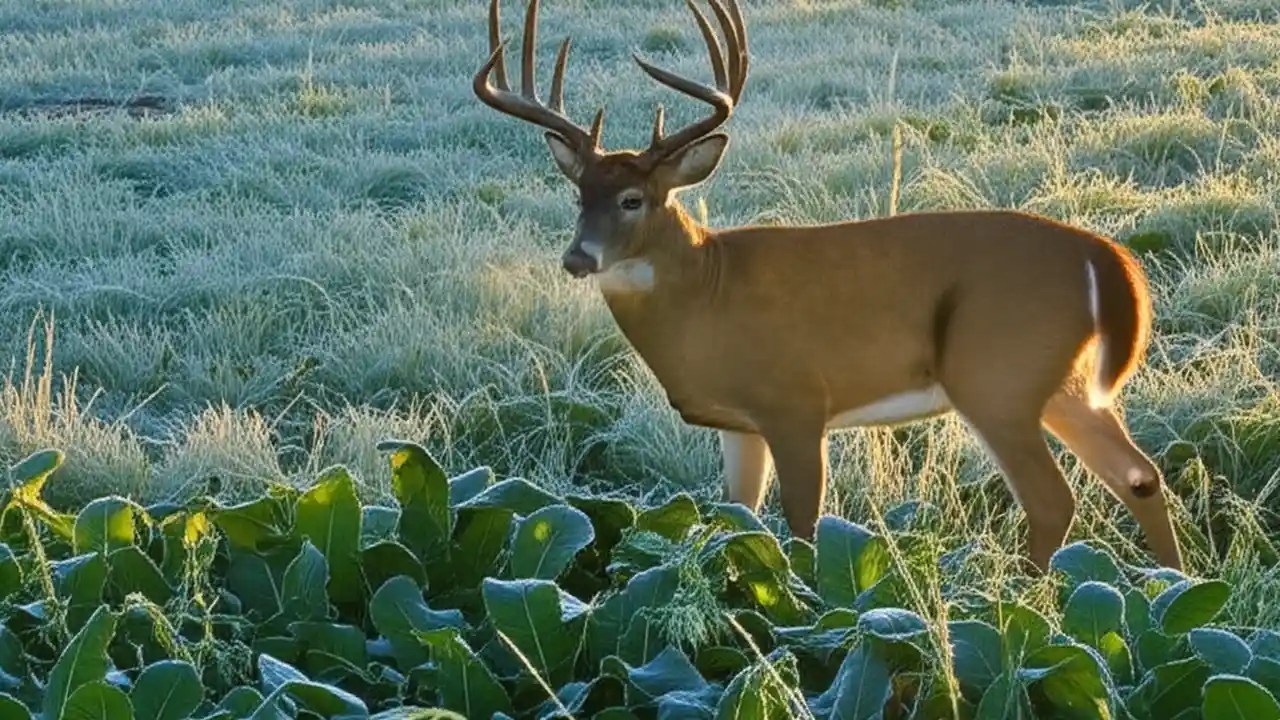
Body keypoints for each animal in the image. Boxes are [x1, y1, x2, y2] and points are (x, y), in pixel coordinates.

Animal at [471, 0, 1183, 573]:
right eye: (578, 196)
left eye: (632, 199)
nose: (577, 257)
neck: (706, 295)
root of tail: (1106, 256)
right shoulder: (739, 423)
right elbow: (738, 515)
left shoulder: (795, 401)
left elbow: (802, 524)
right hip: (1063, 386)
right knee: (1140, 476)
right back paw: (1176, 587)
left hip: (996, 377)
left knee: (1053, 500)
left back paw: (1028, 604)